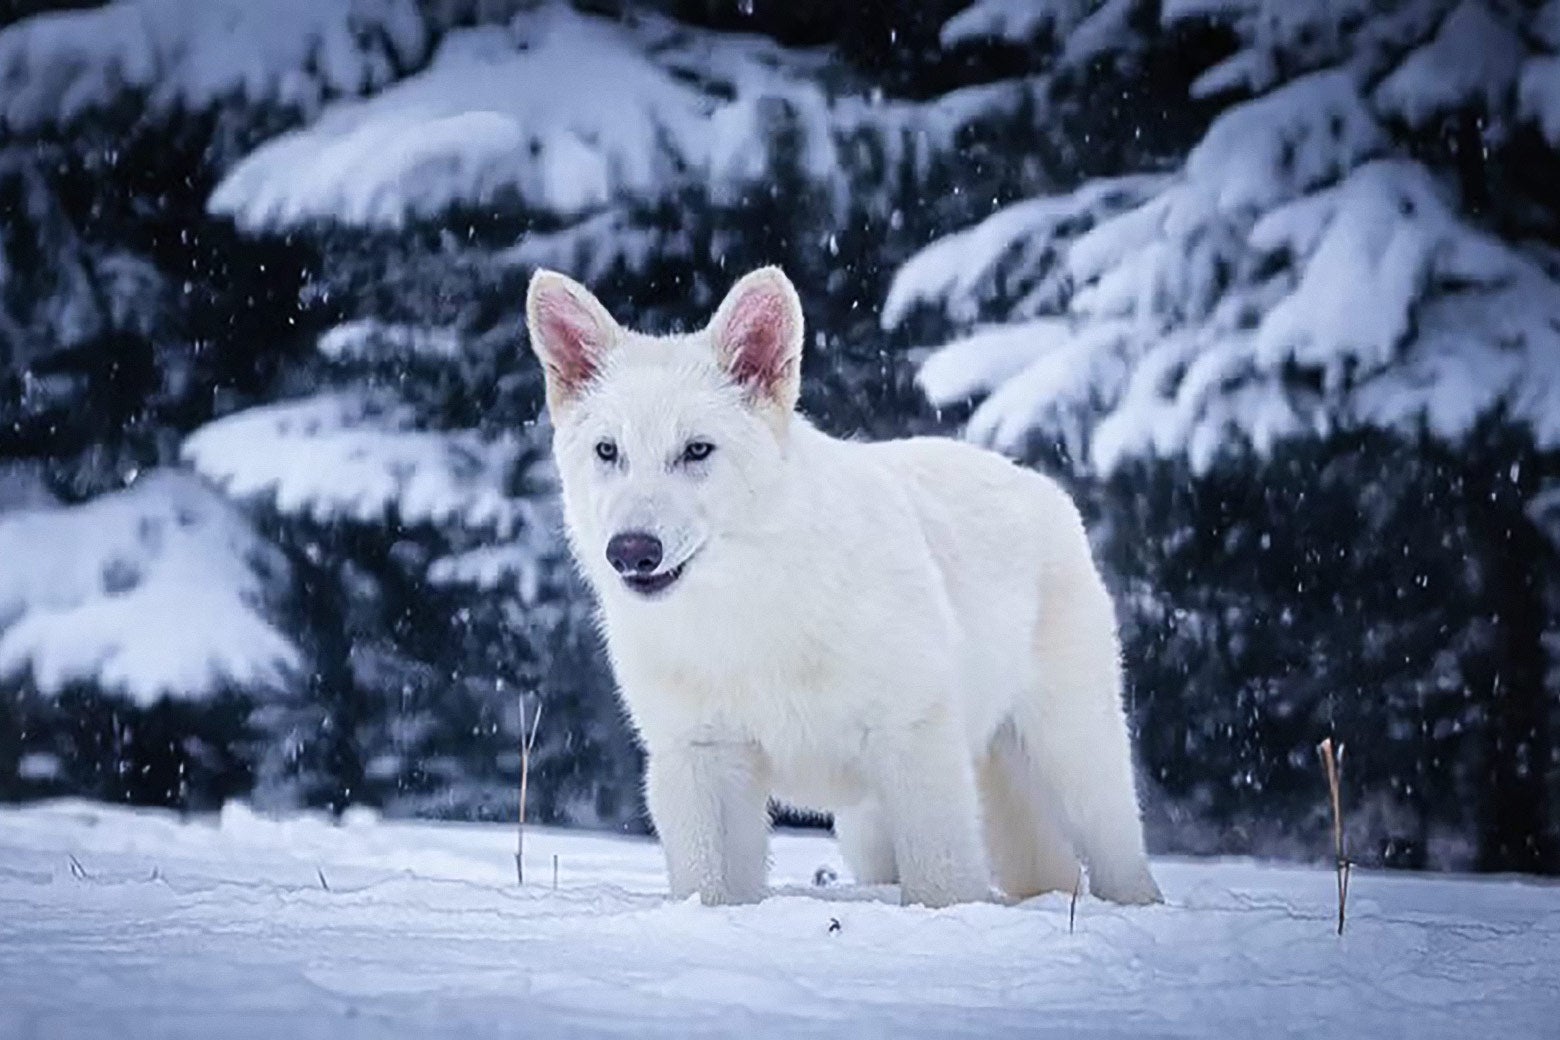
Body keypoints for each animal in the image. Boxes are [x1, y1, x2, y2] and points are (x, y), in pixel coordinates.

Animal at [525, 266, 1162, 909]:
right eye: (609, 452)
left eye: (697, 450)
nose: (632, 552)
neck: (749, 615)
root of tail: (1039, 482)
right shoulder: (701, 759)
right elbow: (711, 889)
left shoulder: (913, 741)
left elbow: (940, 882)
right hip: (877, 825)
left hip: (1073, 755)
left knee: (1120, 857)